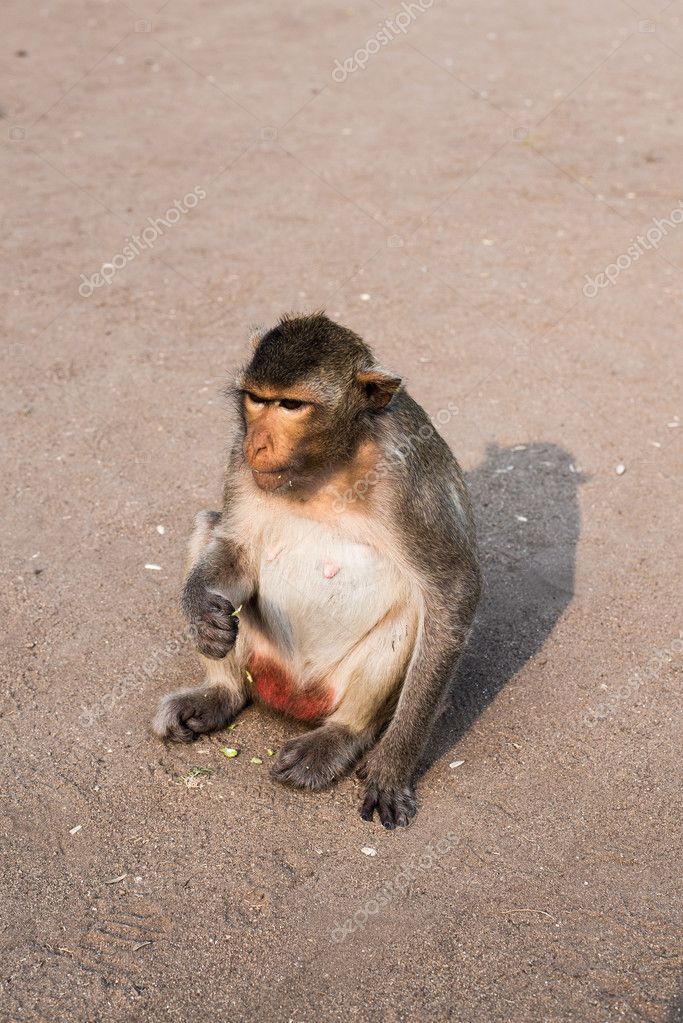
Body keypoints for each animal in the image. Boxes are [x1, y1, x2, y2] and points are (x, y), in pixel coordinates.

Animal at [152, 312, 481, 828]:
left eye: (291, 405)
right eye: (257, 399)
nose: (258, 443)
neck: (326, 464)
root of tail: (292, 696)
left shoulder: (408, 474)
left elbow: (452, 591)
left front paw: (391, 769)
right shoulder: (238, 461)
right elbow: (235, 545)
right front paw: (201, 612)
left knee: (413, 608)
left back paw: (340, 736)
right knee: (209, 524)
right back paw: (219, 694)